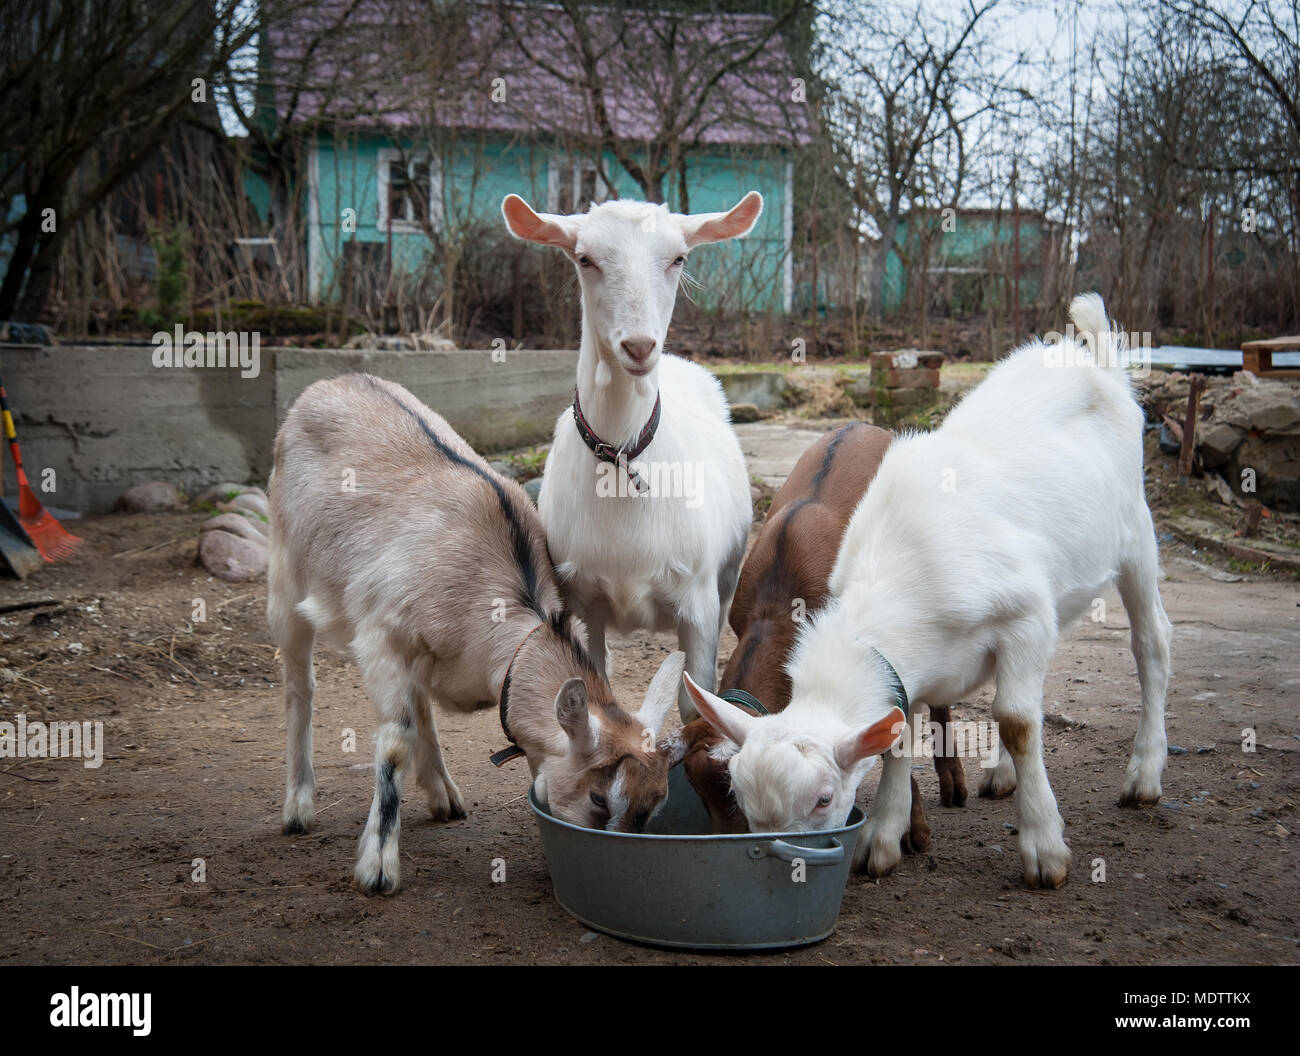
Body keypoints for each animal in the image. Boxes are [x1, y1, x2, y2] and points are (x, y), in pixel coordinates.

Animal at [268, 374, 685, 894]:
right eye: (599, 800)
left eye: (654, 808)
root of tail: (328, 384)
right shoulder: (380, 640)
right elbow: (395, 741)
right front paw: (378, 867)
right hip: (285, 574)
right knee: (299, 686)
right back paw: (297, 806)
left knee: (417, 703)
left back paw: (443, 795)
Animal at [501, 192, 758, 721]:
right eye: (585, 259)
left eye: (679, 258)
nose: (639, 346)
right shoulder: (580, 602)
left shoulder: (699, 605)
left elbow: (693, 702)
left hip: (727, 577)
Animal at [668, 423, 968, 843]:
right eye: (697, 788)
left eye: (732, 794)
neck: (778, 606)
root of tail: (866, 426)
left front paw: (914, 829)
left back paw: (954, 780)